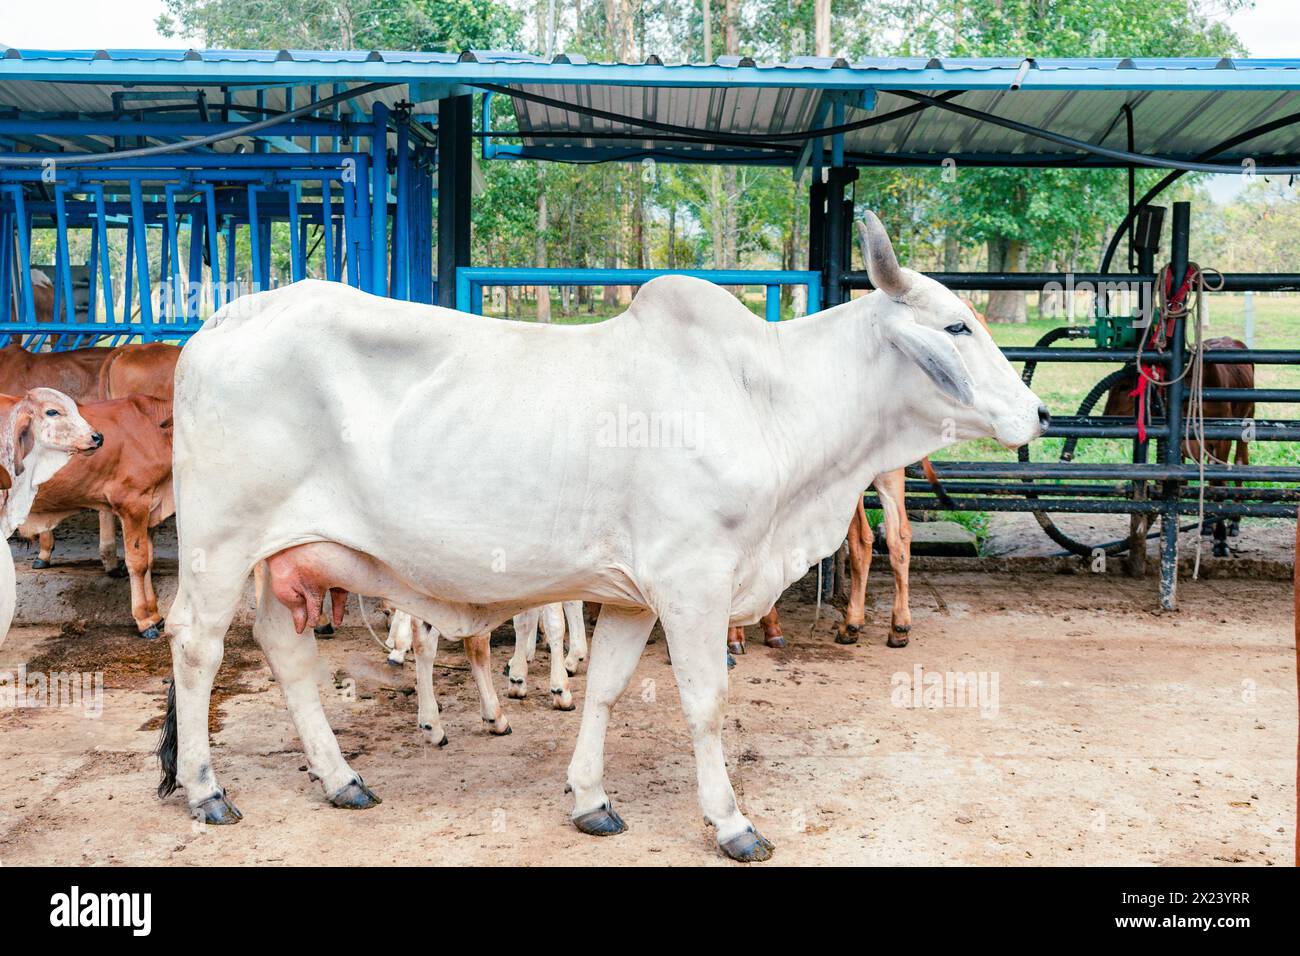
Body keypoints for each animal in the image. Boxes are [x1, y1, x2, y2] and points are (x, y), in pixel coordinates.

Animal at [18, 396, 174, 638]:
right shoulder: (132, 503)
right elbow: (137, 563)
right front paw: (144, 621)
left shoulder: (150, 509)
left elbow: (148, 560)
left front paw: (155, 616)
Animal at [156, 212, 1048, 862]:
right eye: (956, 327)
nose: (1039, 413)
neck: (765, 397)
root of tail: (222, 322)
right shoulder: (693, 583)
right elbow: (705, 703)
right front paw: (731, 822)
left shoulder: (633, 595)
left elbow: (607, 689)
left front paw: (590, 798)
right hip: (220, 543)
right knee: (196, 646)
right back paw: (205, 789)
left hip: (280, 557)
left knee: (286, 650)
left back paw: (340, 777)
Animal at [1104, 337, 1254, 556]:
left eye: (1124, 386)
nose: (1106, 415)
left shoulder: (1221, 440)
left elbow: (1218, 481)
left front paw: (1221, 540)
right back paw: (1207, 524)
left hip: (1247, 420)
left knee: (1241, 462)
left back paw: (1234, 521)